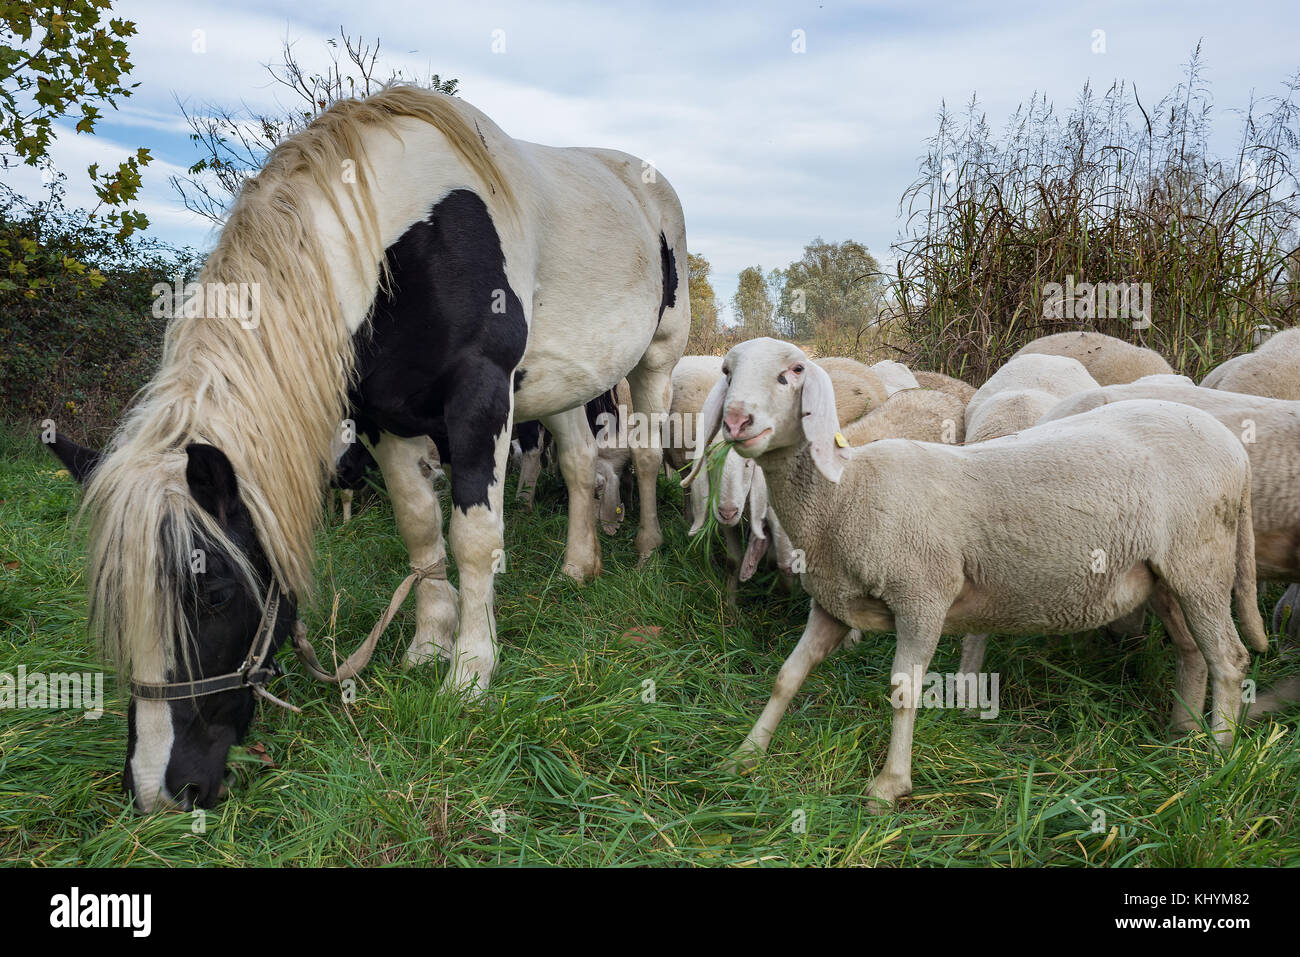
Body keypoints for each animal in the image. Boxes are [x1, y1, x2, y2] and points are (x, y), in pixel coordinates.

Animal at [683, 337, 1261, 811]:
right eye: (727, 370)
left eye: (795, 370)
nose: (737, 421)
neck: (844, 495)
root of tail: (1235, 451)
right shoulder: (830, 605)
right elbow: (787, 676)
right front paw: (745, 754)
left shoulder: (922, 598)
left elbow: (904, 690)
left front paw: (888, 787)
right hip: (1162, 575)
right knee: (1193, 651)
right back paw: (1181, 733)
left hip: (1200, 561)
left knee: (1230, 659)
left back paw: (1216, 758)